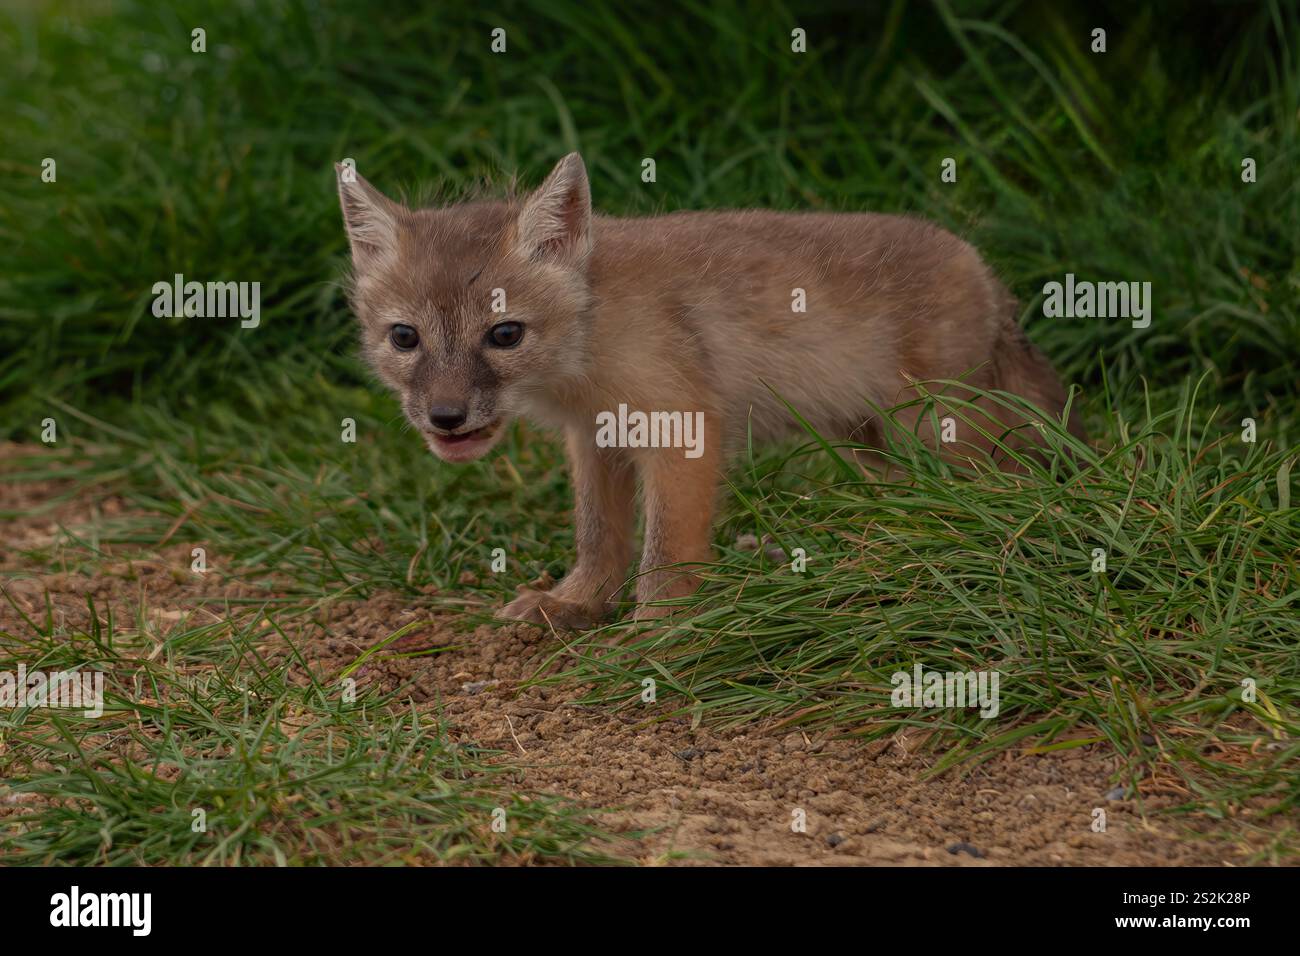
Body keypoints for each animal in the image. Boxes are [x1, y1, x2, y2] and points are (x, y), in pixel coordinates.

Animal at [335, 153, 1083, 629]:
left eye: (505, 333)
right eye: (404, 338)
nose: (445, 417)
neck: (589, 343)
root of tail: (989, 274)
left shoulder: (682, 426)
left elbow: (665, 551)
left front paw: (659, 633)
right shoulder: (595, 438)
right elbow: (599, 537)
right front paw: (576, 603)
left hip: (934, 431)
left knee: (1007, 494)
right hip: (869, 439)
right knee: (920, 499)